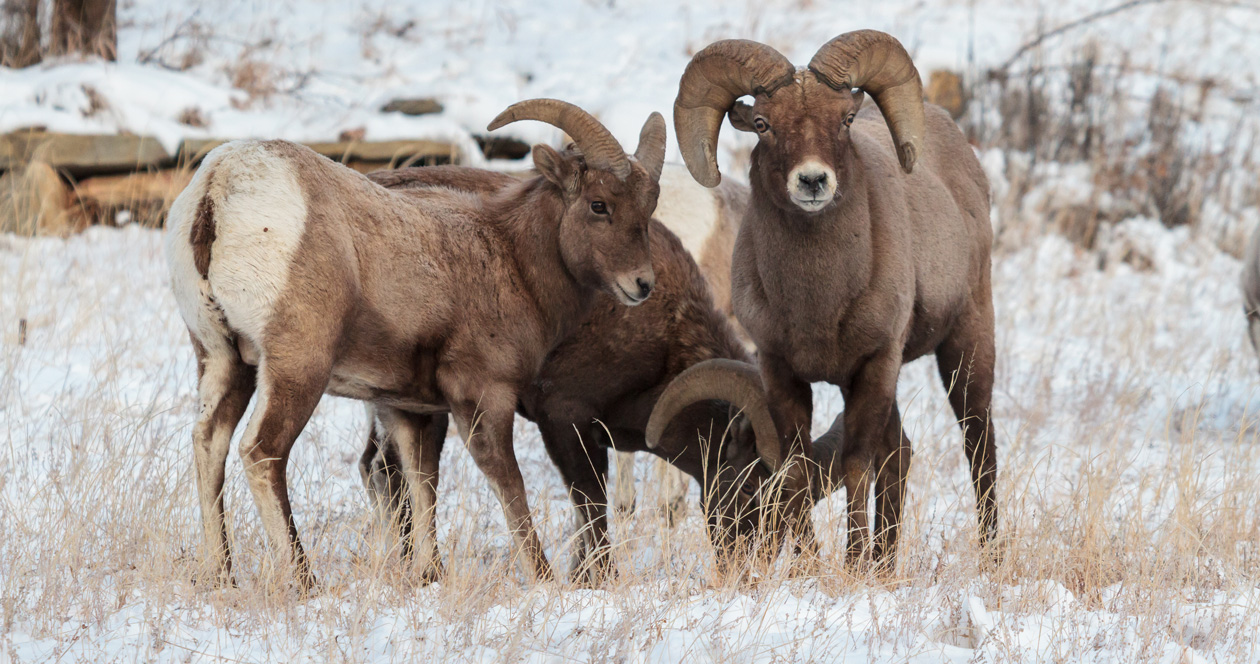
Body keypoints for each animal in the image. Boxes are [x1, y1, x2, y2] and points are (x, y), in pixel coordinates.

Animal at [164, 98, 665, 589]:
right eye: (599, 204)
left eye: (648, 208)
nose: (642, 284)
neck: (512, 258)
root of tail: (218, 188)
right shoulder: (484, 397)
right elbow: (508, 482)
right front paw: (542, 576)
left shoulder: (407, 409)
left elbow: (423, 482)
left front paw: (429, 574)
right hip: (296, 367)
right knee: (262, 452)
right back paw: (304, 580)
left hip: (224, 361)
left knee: (209, 442)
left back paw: (221, 574)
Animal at [649, 30, 999, 571]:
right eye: (762, 124)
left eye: (846, 119)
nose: (813, 181)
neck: (817, 301)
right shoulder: (783, 372)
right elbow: (795, 468)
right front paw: (809, 565)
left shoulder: (874, 365)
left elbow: (856, 463)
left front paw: (852, 565)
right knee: (900, 453)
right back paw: (885, 564)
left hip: (966, 342)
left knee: (978, 445)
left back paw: (986, 557)